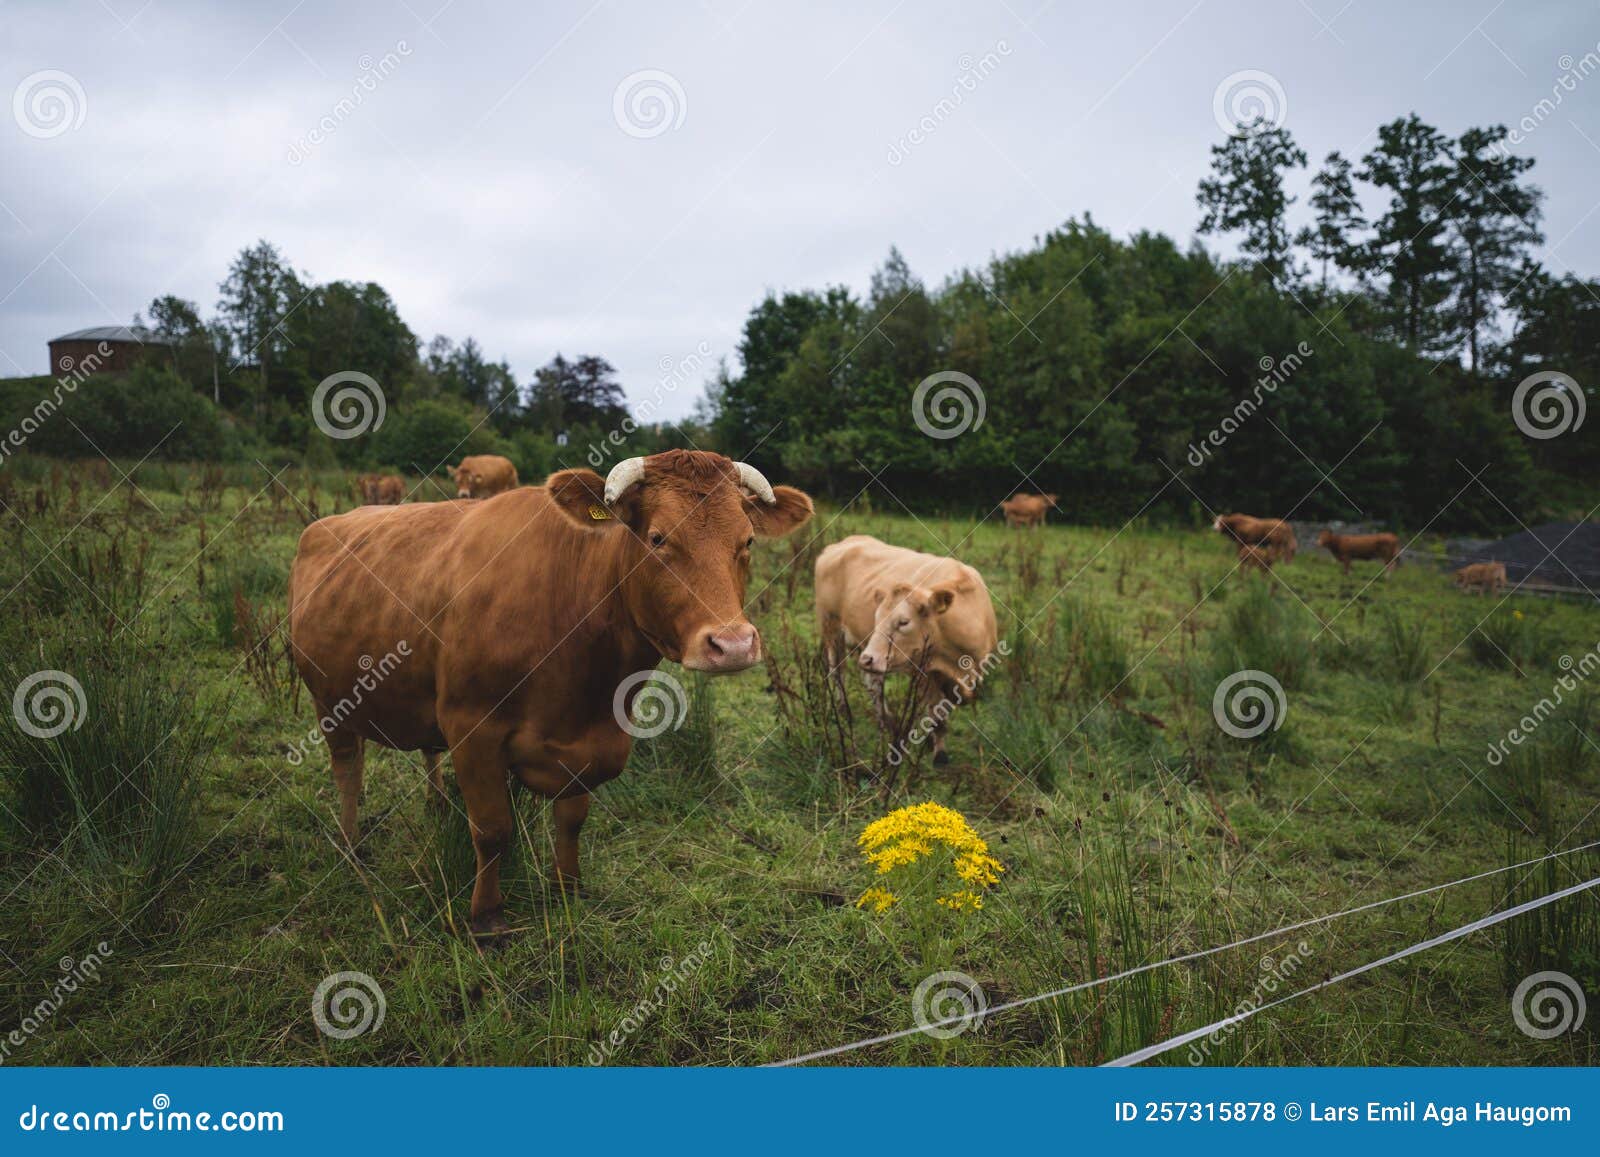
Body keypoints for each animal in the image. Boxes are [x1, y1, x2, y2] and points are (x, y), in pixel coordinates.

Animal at [288, 450, 813, 940]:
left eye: (747, 541)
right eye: (658, 538)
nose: (733, 644)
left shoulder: (591, 742)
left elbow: (572, 818)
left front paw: (568, 887)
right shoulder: (471, 728)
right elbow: (492, 829)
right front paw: (487, 917)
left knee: (425, 752)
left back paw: (434, 803)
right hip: (328, 701)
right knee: (348, 771)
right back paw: (351, 845)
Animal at [813, 535, 998, 766]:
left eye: (903, 622)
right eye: (877, 618)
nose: (866, 659)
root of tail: (847, 542)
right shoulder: (924, 674)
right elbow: (936, 715)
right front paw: (939, 754)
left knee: (873, 682)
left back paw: (887, 721)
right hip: (832, 629)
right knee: (837, 673)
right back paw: (845, 710)